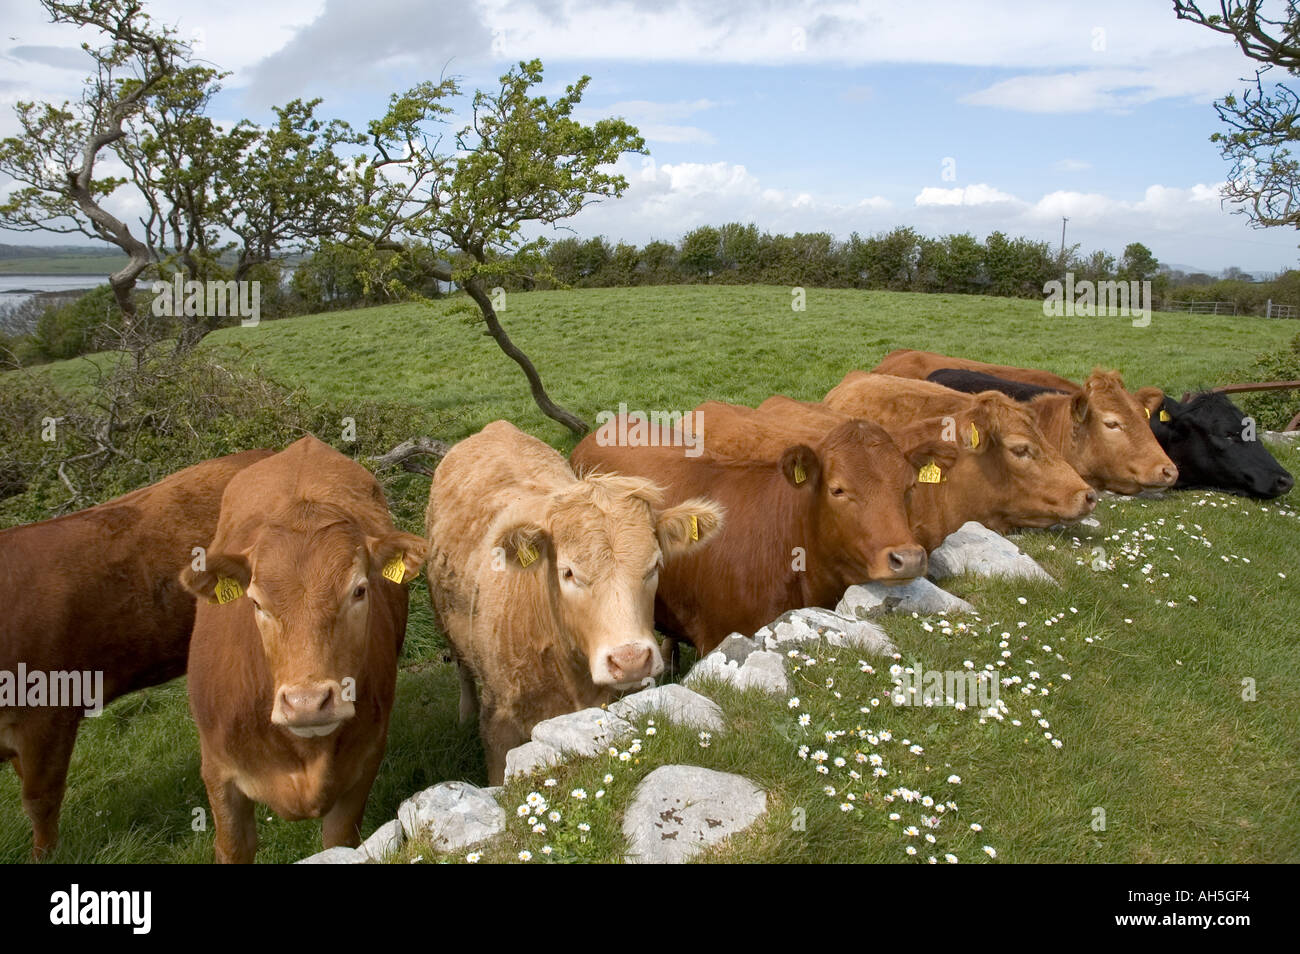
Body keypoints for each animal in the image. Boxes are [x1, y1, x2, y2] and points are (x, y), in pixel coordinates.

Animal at [180, 435, 427, 863]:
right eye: (256, 602)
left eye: (360, 590)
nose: (307, 703)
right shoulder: (217, 773)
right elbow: (233, 846)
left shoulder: (364, 763)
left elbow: (339, 840)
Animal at [426, 420, 723, 785]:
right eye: (568, 572)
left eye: (655, 565)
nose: (630, 660)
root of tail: (495, 427)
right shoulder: (499, 731)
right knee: (462, 666)